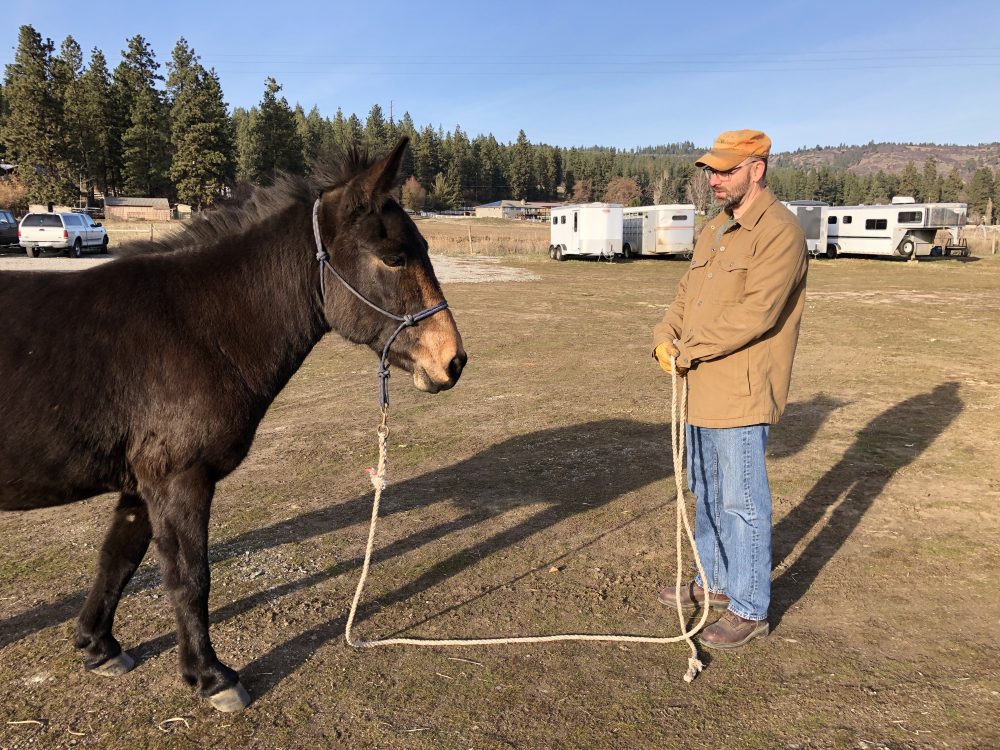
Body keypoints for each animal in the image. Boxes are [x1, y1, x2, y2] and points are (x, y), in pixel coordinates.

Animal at [0, 137, 466, 711]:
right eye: (395, 258)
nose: (453, 361)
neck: (195, 327)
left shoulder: (142, 484)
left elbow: (118, 559)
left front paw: (98, 646)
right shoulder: (179, 480)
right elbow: (190, 578)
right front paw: (210, 676)